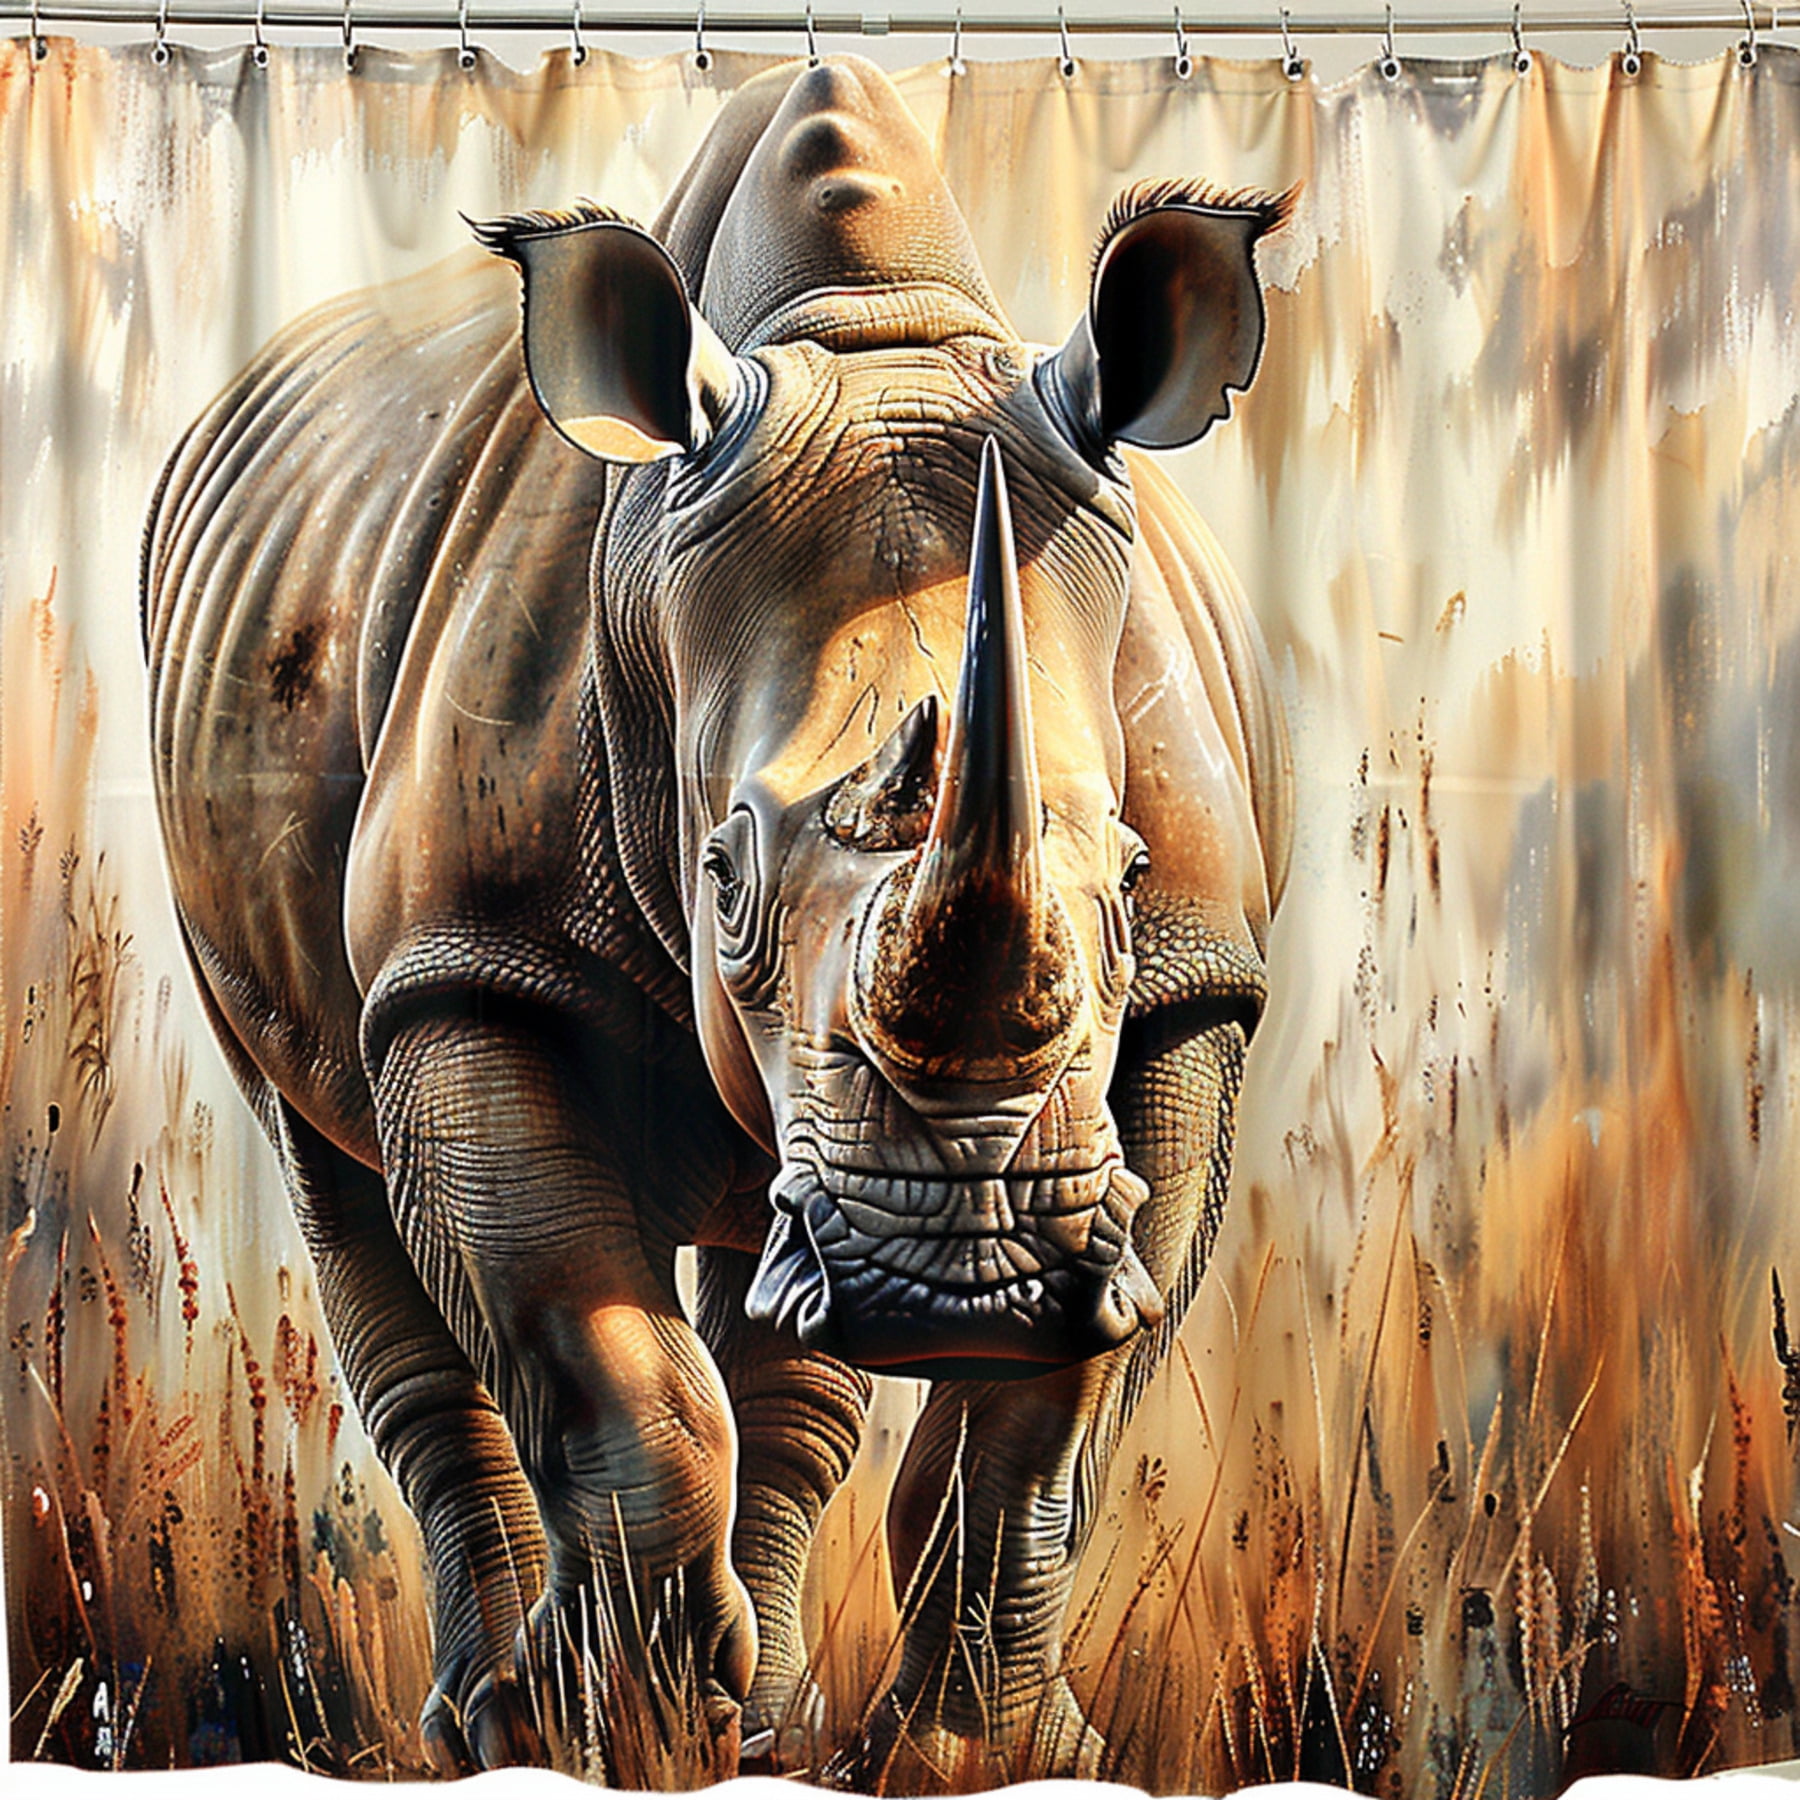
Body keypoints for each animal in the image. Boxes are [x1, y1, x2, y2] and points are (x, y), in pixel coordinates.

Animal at [142, 55, 1290, 1783]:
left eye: (1133, 875)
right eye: (724, 877)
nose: (965, 1283)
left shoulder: (1190, 988)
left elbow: (1040, 1427)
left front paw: (972, 1761)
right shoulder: (467, 968)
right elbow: (598, 1361)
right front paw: (622, 1731)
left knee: (778, 1300)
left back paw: (782, 1722)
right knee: (335, 1171)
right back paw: (511, 1722)